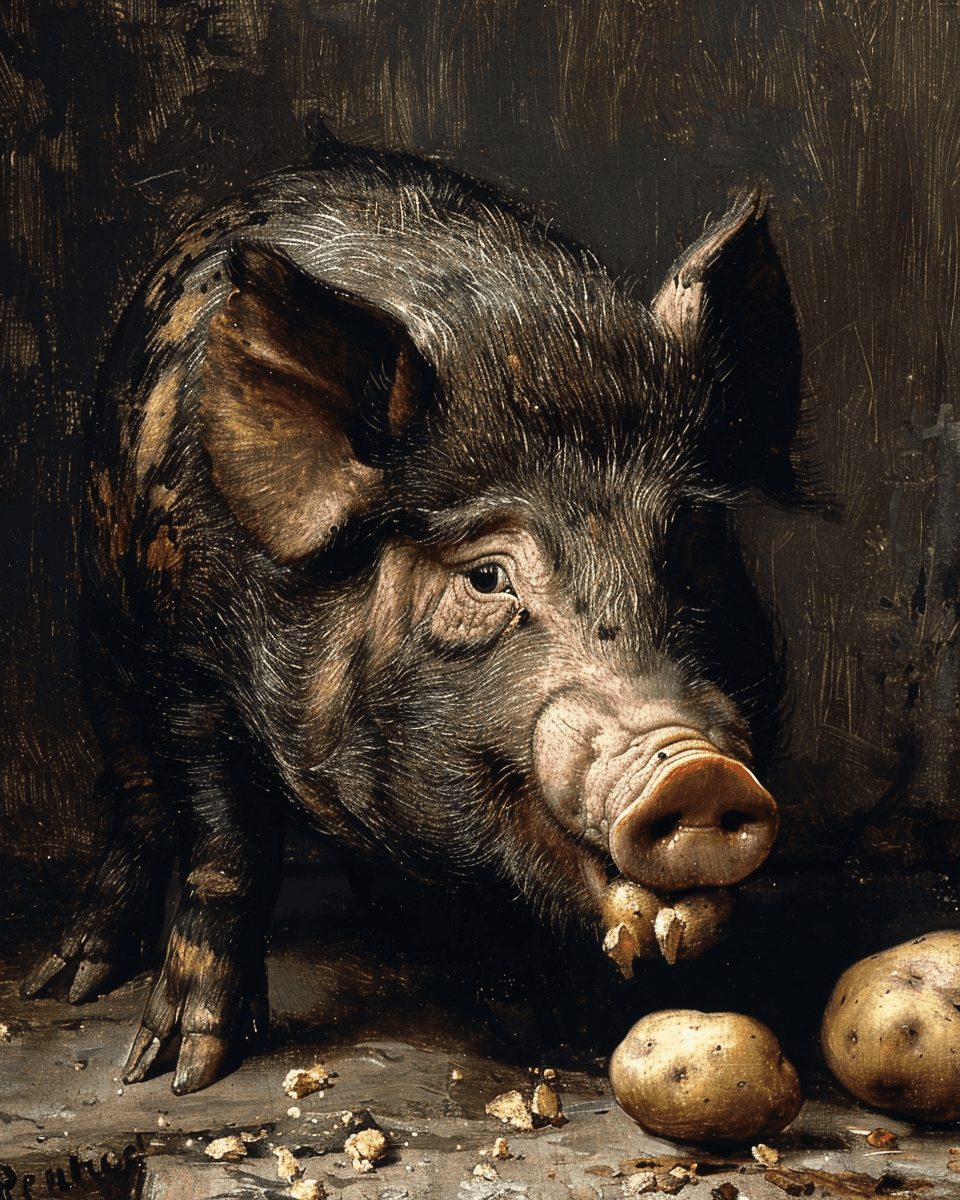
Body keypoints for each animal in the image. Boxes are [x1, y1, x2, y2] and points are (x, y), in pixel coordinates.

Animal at [23, 136, 808, 1094]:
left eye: (691, 542)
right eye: (487, 577)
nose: (697, 771)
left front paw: (557, 1036)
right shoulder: (191, 673)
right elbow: (226, 849)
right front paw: (177, 1072)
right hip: (101, 621)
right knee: (135, 791)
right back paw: (70, 981)